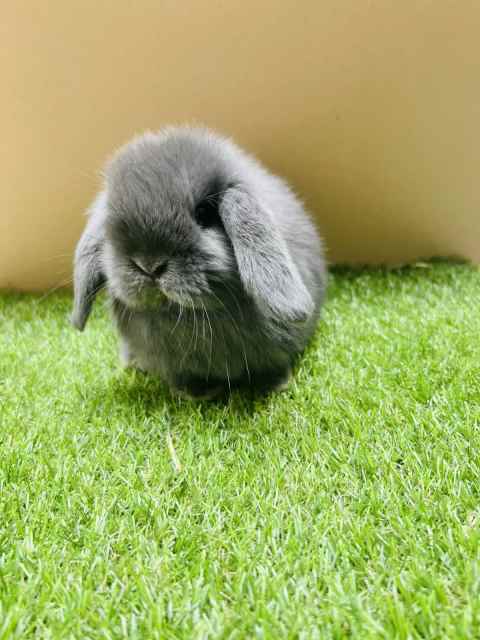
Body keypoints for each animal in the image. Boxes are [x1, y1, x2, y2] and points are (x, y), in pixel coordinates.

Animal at [71, 126, 327, 398]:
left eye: (203, 213)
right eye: (111, 224)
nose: (149, 265)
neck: (186, 315)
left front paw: (272, 386)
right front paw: (195, 393)